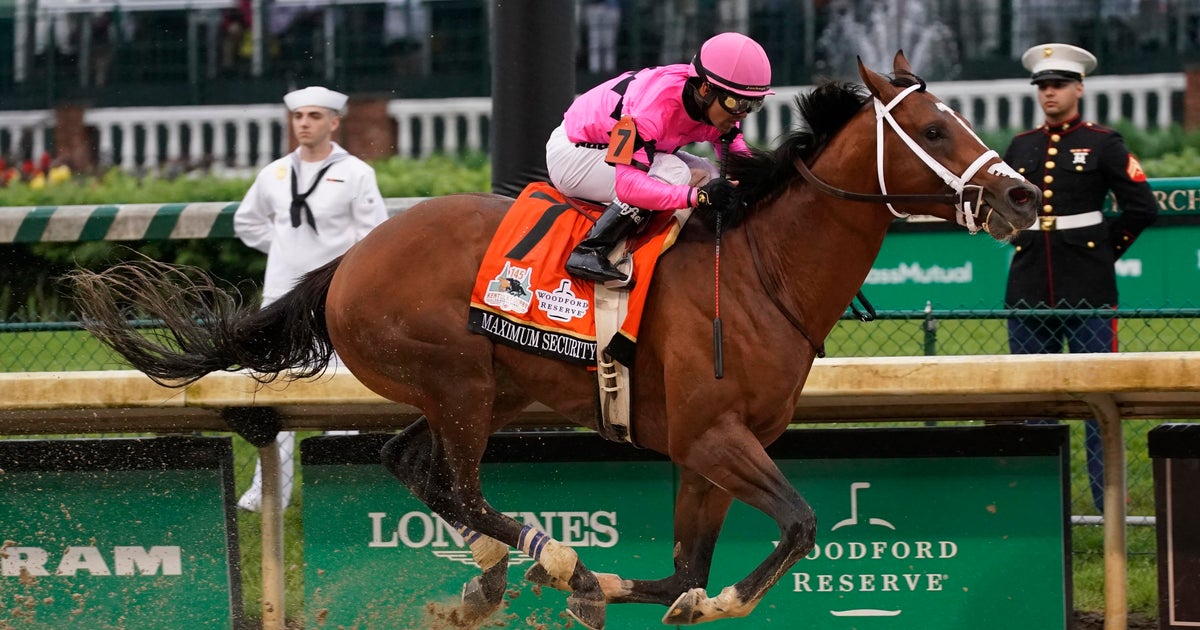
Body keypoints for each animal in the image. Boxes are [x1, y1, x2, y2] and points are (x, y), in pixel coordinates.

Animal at [69, 52, 1038, 629]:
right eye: (939, 129)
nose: (1022, 195)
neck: (762, 274)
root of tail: (347, 261)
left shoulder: (706, 451)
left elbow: (682, 568)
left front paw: (647, 593)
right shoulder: (715, 438)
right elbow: (796, 526)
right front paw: (699, 597)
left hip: (491, 390)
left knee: (411, 465)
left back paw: (501, 574)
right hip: (459, 384)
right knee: (455, 485)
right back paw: (546, 557)